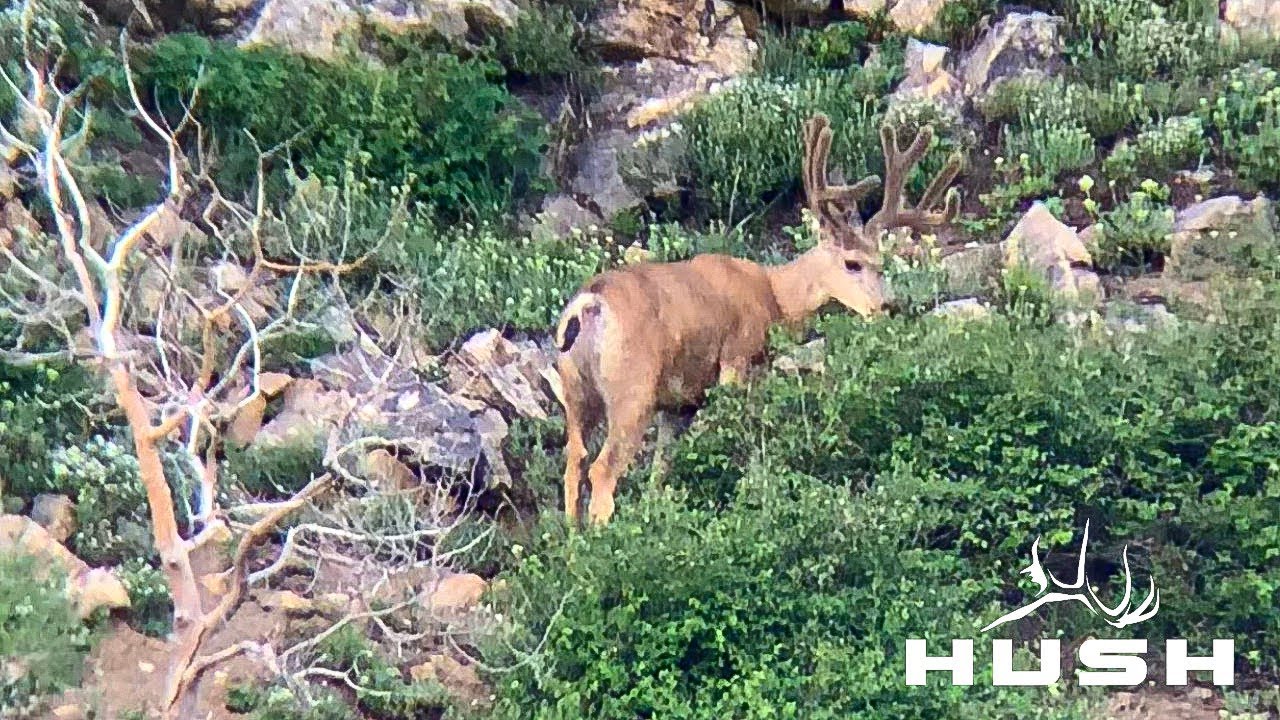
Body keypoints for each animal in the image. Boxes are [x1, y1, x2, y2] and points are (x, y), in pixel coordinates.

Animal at [553, 113, 963, 525]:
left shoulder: (680, 402)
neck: (773, 295)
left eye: (882, 263)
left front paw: (658, 512)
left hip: (576, 392)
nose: (887, 307)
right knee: (602, 469)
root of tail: (590, 302)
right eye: (853, 263)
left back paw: (572, 537)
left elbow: (661, 470)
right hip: (632, 387)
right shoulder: (738, 357)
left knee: (573, 464)